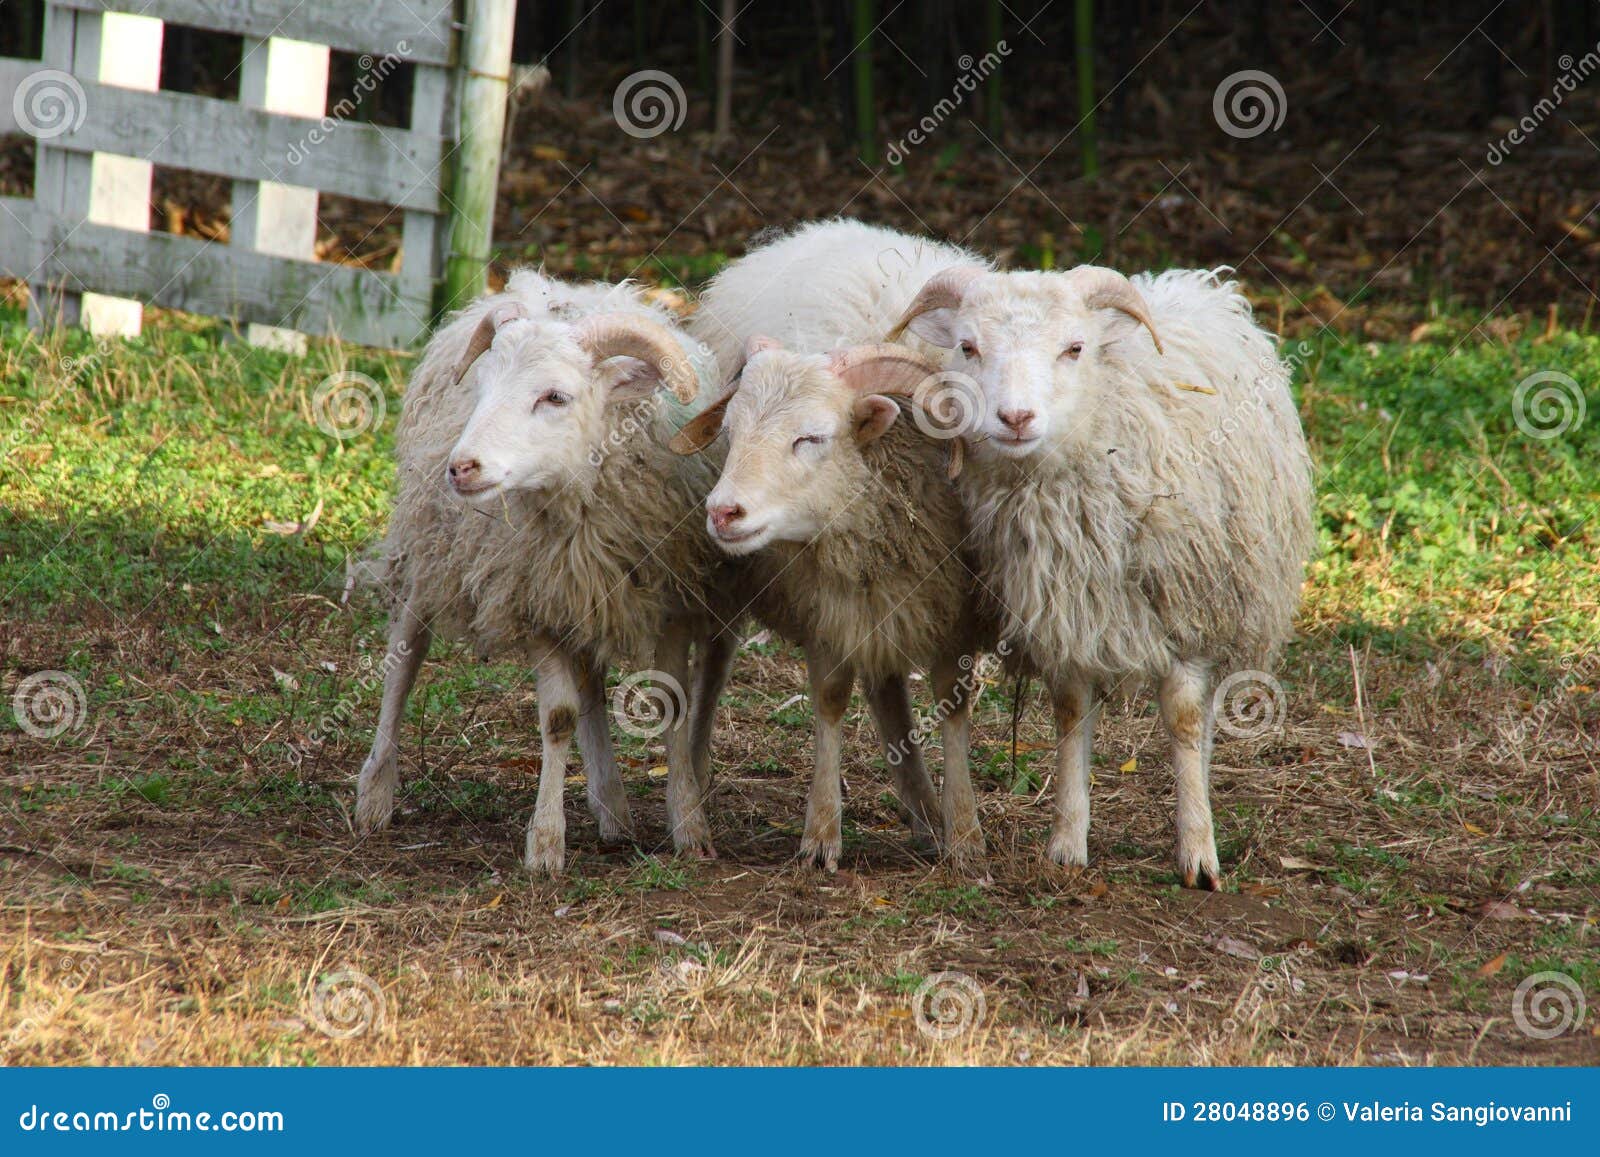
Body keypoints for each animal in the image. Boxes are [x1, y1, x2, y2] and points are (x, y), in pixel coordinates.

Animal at [355, 271, 738, 875]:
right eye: (482, 386)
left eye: (554, 396)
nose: (461, 468)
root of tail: (540, 284)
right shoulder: (532, 597)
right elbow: (558, 716)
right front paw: (545, 844)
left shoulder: (669, 597)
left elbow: (672, 707)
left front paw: (691, 827)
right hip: (430, 547)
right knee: (405, 658)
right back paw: (375, 793)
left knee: (591, 685)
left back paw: (612, 810)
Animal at [673, 221, 998, 869]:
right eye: (731, 432)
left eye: (811, 438)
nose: (723, 512)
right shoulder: (822, 598)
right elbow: (827, 700)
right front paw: (821, 833)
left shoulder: (951, 602)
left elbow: (952, 706)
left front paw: (966, 836)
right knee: (716, 662)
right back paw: (695, 770)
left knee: (888, 689)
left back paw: (926, 813)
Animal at [890, 261, 1315, 889]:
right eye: (968, 347)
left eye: (1074, 348)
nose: (1015, 417)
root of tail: (1198, 283)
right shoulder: (1070, 608)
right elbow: (1070, 715)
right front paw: (1067, 841)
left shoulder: (1186, 607)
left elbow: (1184, 718)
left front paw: (1198, 851)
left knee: (1204, 718)